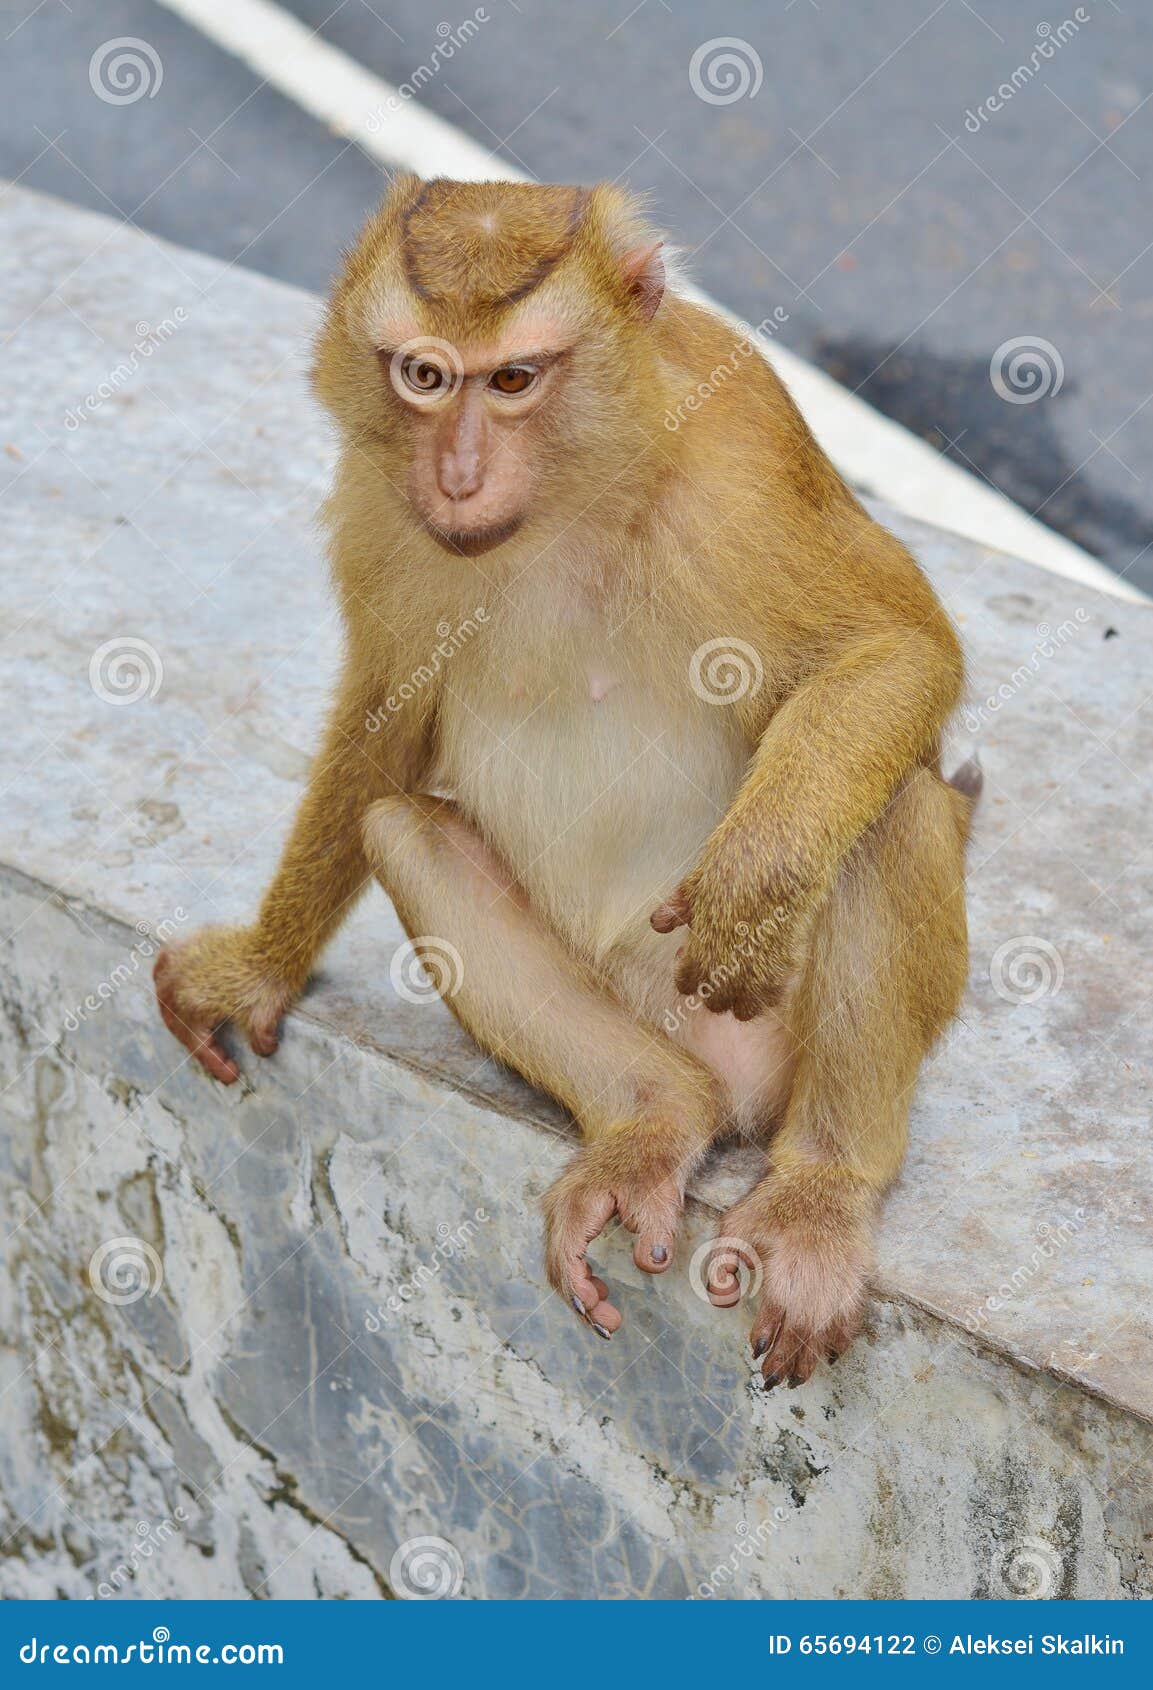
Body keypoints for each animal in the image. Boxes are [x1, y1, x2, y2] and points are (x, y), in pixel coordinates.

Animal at [154, 176, 977, 1388]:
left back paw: (821, 1193)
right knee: (402, 829)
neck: (565, 502)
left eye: (513, 380)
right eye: (424, 375)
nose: (455, 476)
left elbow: (895, 647)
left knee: (888, 805)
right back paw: (651, 1121)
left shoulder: (743, 457)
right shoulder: (378, 500)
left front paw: (755, 880)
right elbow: (384, 729)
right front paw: (259, 965)